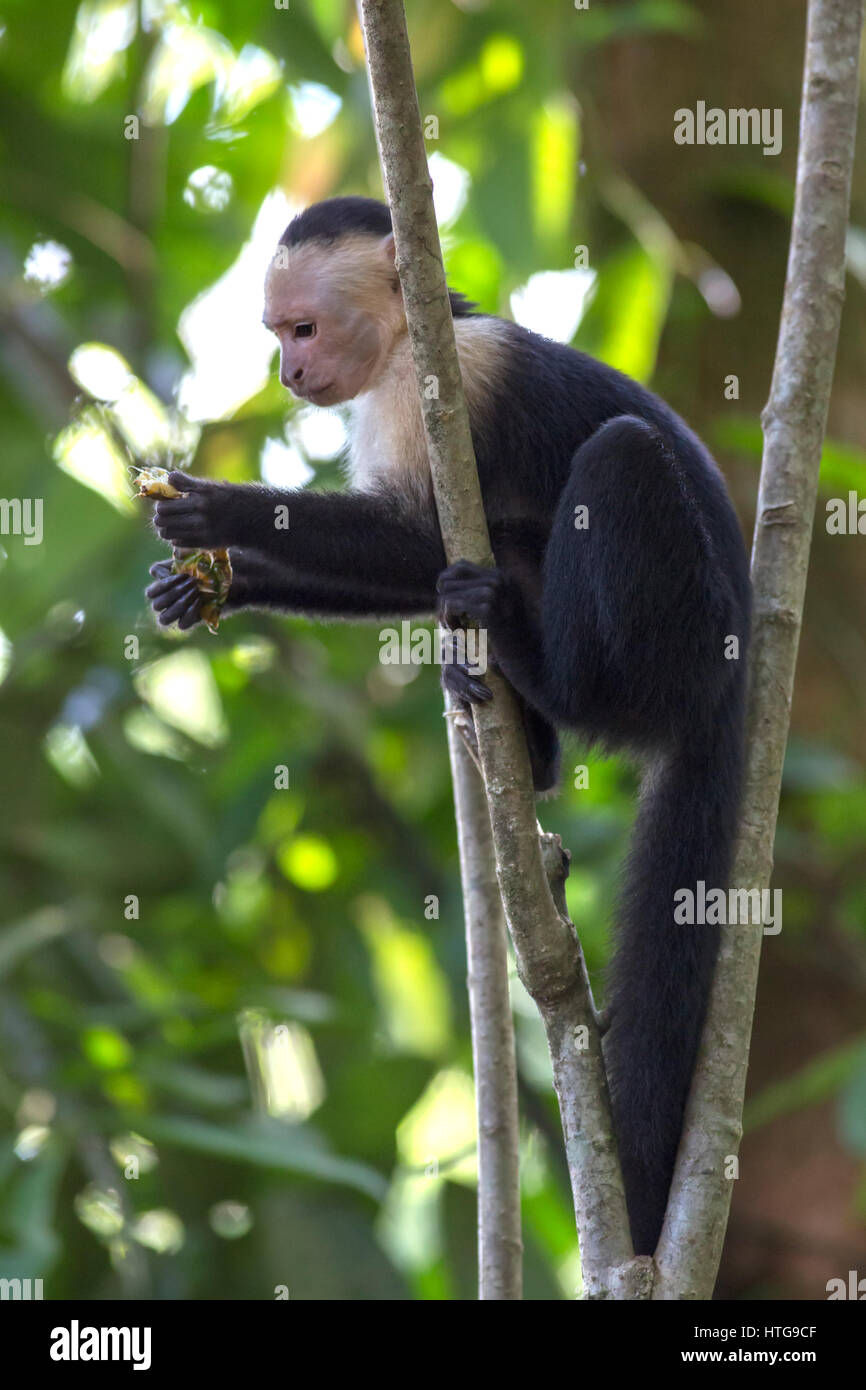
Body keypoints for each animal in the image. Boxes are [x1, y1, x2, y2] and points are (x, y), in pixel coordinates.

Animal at [145, 195, 751, 1256]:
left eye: (302, 330)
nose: (289, 375)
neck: (409, 338)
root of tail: (734, 672)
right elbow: (413, 560)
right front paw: (224, 584)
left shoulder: (444, 384)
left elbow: (423, 533)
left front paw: (224, 514)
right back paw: (526, 737)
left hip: (681, 633)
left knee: (618, 459)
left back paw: (537, 665)